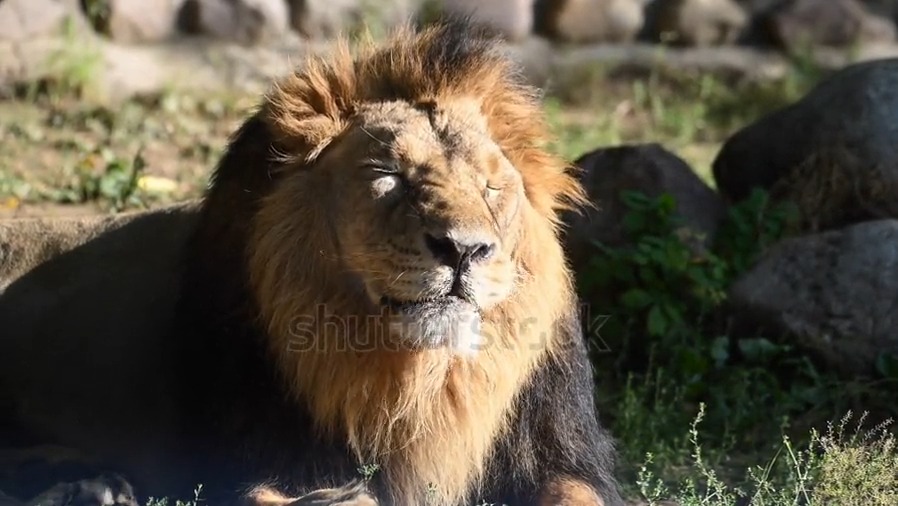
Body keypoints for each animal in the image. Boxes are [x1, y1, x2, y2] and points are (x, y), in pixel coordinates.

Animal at [0, 16, 624, 506]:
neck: (420, 385)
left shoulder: (562, 455)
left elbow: (579, 493)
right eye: (388, 176)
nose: (464, 249)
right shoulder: (257, 460)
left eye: (491, 187)